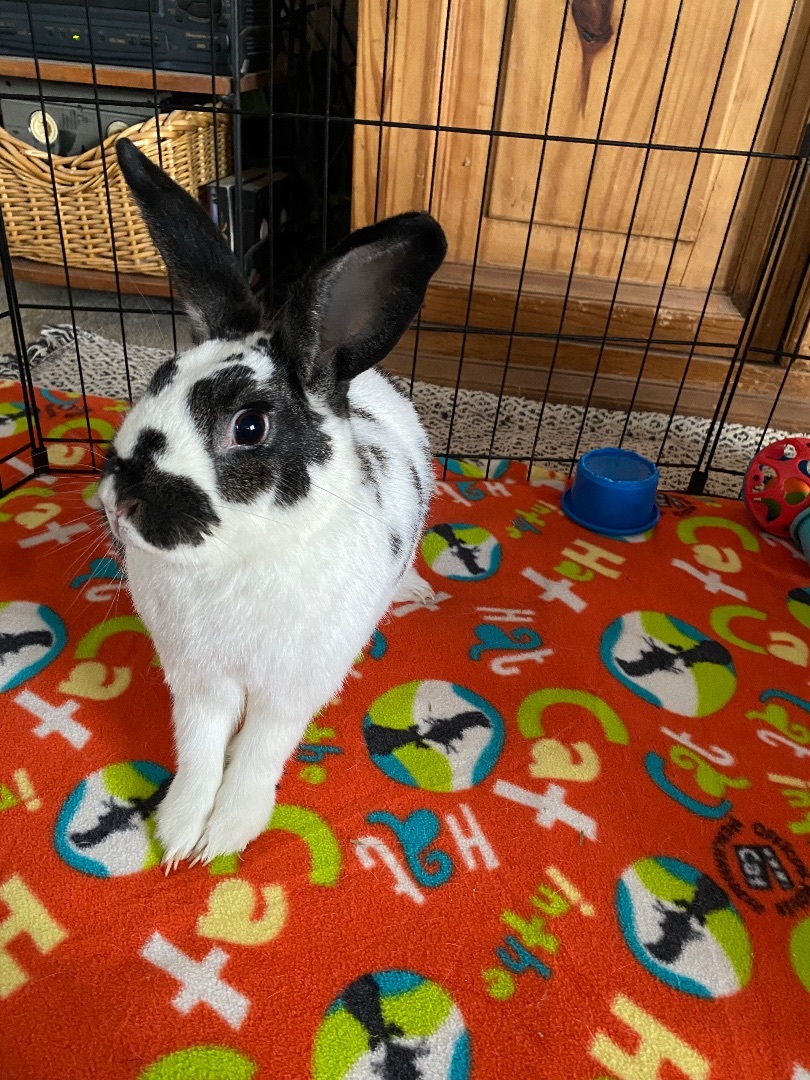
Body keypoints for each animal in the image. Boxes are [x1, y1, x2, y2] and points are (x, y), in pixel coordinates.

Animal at [97, 138, 446, 869]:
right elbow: (201, 747)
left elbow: (260, 750)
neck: (236, 561)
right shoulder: (197, 682)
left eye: (250, 427)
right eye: (156, 380)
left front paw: (228, 831)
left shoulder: (293, 689)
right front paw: (179, 833)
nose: (121, 504)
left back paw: (417, 591)